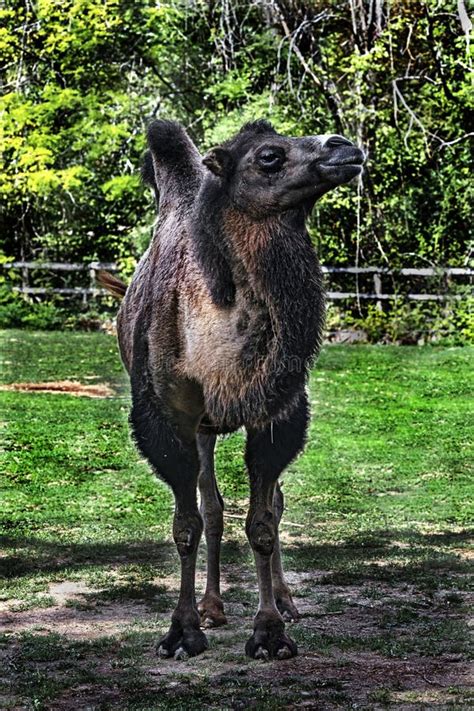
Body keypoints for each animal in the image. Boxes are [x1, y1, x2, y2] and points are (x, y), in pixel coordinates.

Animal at [99, 119, 364, 660]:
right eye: (269, 156)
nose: (345, 145)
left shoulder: (278, 413)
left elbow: (262, 523)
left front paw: (270, 632)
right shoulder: (167, 421)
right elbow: (187, 525)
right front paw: (182, 632)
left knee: (272, 504)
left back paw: (284, 600)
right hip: (203, 427)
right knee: (212, 507)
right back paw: (211, 607)